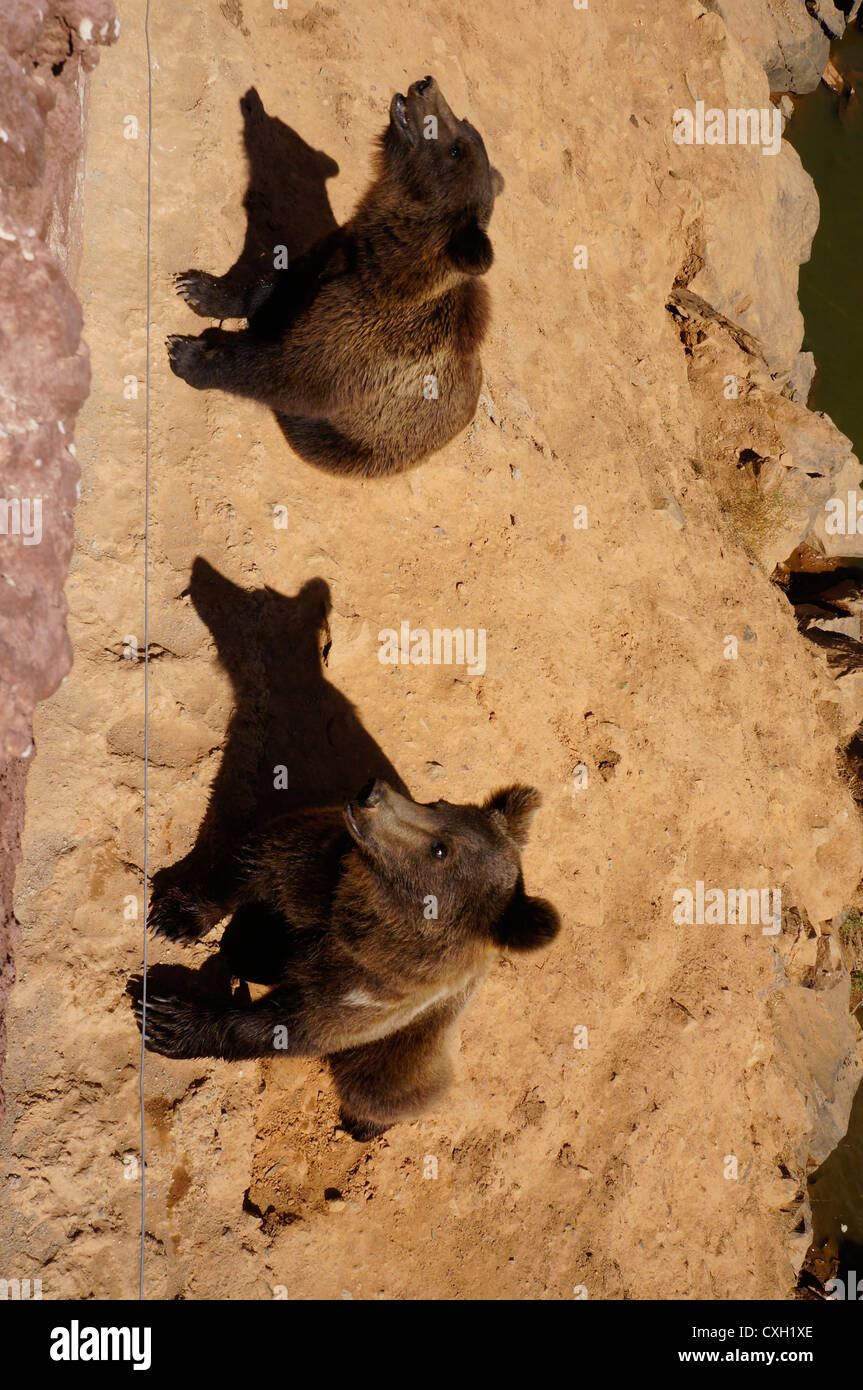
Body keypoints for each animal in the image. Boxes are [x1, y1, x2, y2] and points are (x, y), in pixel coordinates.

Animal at [133, 779, 560, 1140]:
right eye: (439, 802)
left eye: (440, 849)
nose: (372, 792)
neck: (368, 916)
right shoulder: (322, 869)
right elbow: (259, 858)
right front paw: (175, 916)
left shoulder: (378, 989)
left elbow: (295, 1024)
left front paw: (167, 1021)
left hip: (412, 1044)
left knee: (375, 1085)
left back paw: (365, 1125)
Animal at [167, 76, 504, 477]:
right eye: (464, 126)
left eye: (455, 149)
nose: (426, 84)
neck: (383, 264)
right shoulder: (338, 256)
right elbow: (280, 284)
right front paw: (199, 289)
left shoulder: (369, 337)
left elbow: (294, 372)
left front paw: (188, 354)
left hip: (361, 448)